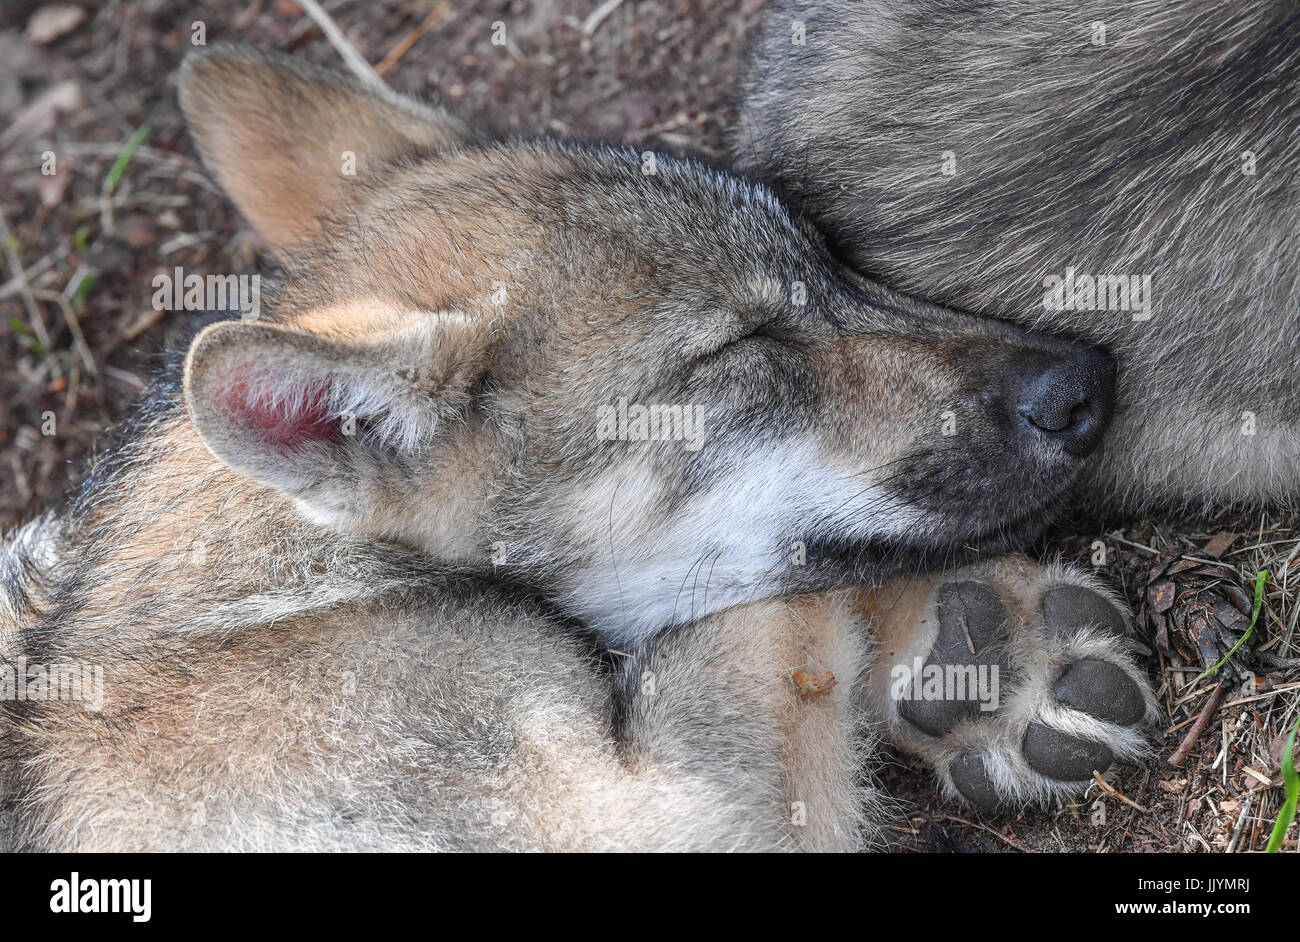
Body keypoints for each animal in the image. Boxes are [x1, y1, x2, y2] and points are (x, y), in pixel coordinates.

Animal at [0, 45, 1154, 851]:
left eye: (831, 265)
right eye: (745, 345)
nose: (1085, 380)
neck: (284, 601)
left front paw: (985, 654)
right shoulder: (657, 810)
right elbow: (765, 602)